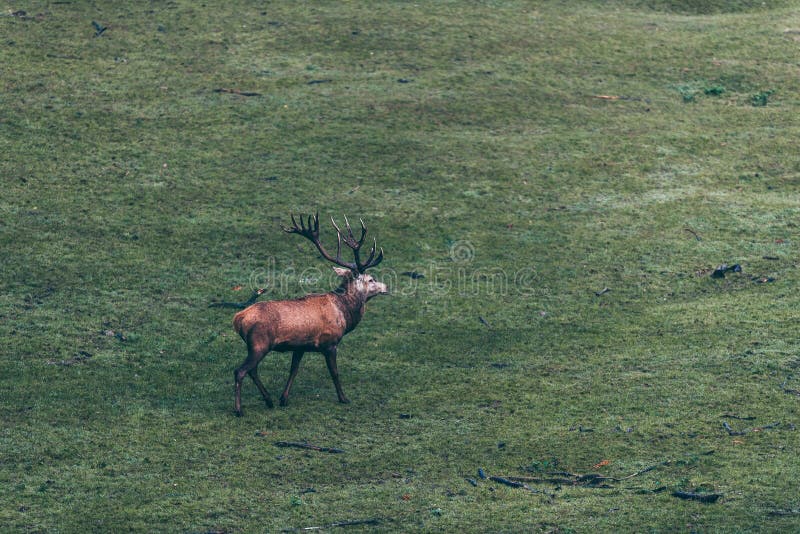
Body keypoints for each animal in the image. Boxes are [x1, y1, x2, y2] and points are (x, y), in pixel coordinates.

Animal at [232, 213, 388, 416]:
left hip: (255, 346)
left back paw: (269, 400)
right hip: (259, 343)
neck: (345, 314)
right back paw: (239, 410)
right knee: (240, 371)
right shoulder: (330, 343)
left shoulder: (300, 346)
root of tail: (238, 319)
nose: (386, 286)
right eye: (370, 279)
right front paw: (343, 398)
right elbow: (334, 372)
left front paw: (283, 399)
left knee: (252, 370)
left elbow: (293, 370)